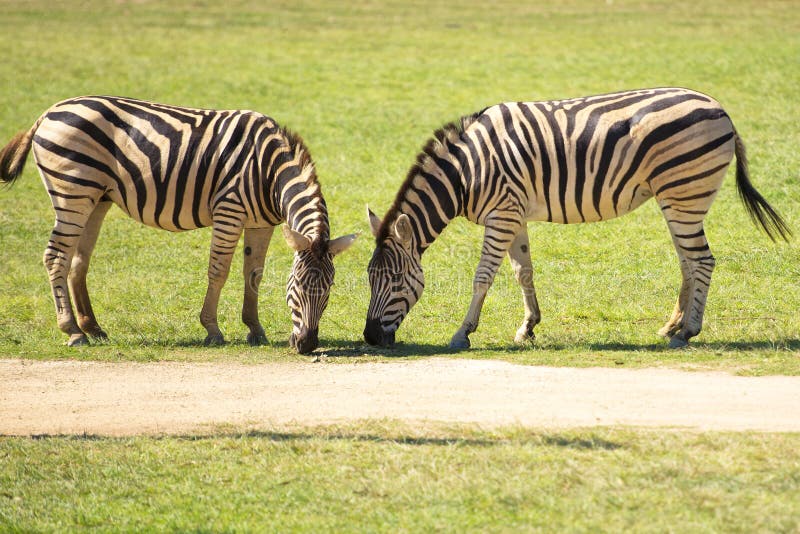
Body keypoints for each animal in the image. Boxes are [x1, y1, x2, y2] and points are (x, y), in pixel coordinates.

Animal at [0, 96, 357, 353]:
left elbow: (253, 274)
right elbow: (219, 271)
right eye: (297, 287)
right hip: (72, 190)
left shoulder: (261, 223)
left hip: (95, 197)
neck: (270, 172)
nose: (308, 345)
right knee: (55, 257)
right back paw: (72, 331)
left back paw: (92, 328)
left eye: (329, 289)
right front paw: (212, 329)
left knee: (78, 260)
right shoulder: (229, 211)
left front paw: (255, 329)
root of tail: (49, 112)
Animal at [364, 87, 790, 349]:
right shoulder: (514, 214)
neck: (466, 172)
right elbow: (523, 272)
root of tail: (721, 108)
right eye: (369, 278)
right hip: (677, 199)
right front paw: (528, 326)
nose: (368, 337)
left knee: (702, 261)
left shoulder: (502, 214)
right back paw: (671, 325)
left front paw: (462, 333)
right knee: (689, 262)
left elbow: (483, 276)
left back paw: (687, 332)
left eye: (396, 280)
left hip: (684, 194)